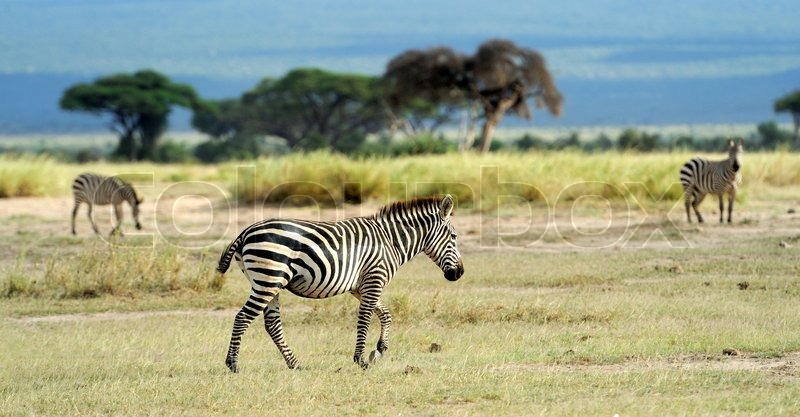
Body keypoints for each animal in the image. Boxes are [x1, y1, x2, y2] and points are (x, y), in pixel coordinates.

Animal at [218, 194, 464, 372]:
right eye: (453, 237)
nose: (460, 273)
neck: (389, 241)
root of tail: (245, 232)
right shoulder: (374, 279)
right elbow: (365, 319)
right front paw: (361, 359)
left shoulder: (360, 286)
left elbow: (385, 314)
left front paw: (379, 350)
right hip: (268, 278)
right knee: (242, 317)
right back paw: (233, 364)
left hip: (270, 282)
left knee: (272, 324)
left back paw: (295, 364)